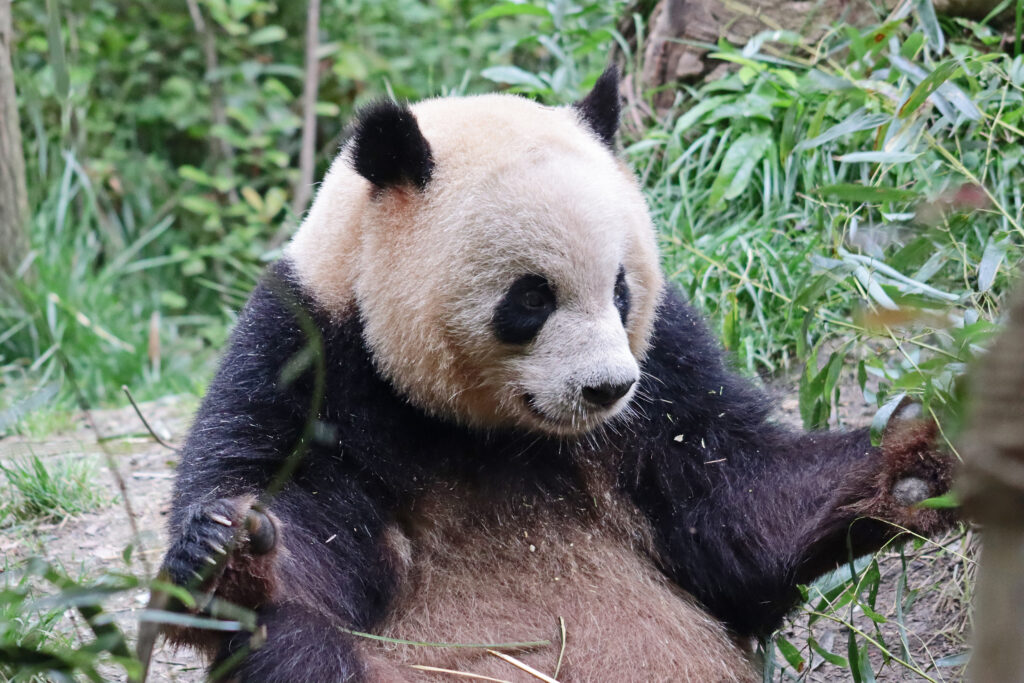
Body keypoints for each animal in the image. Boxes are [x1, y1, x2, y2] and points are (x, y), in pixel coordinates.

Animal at [158, 68, 955, 682]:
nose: (606, 388)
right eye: (531, 297)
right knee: (298, 651)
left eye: (621, 288)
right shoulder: (311, 355)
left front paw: (915, 457)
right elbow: (295, 547)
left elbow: (735, 506)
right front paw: (230, 550)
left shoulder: (665, 373)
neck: (485, 432)